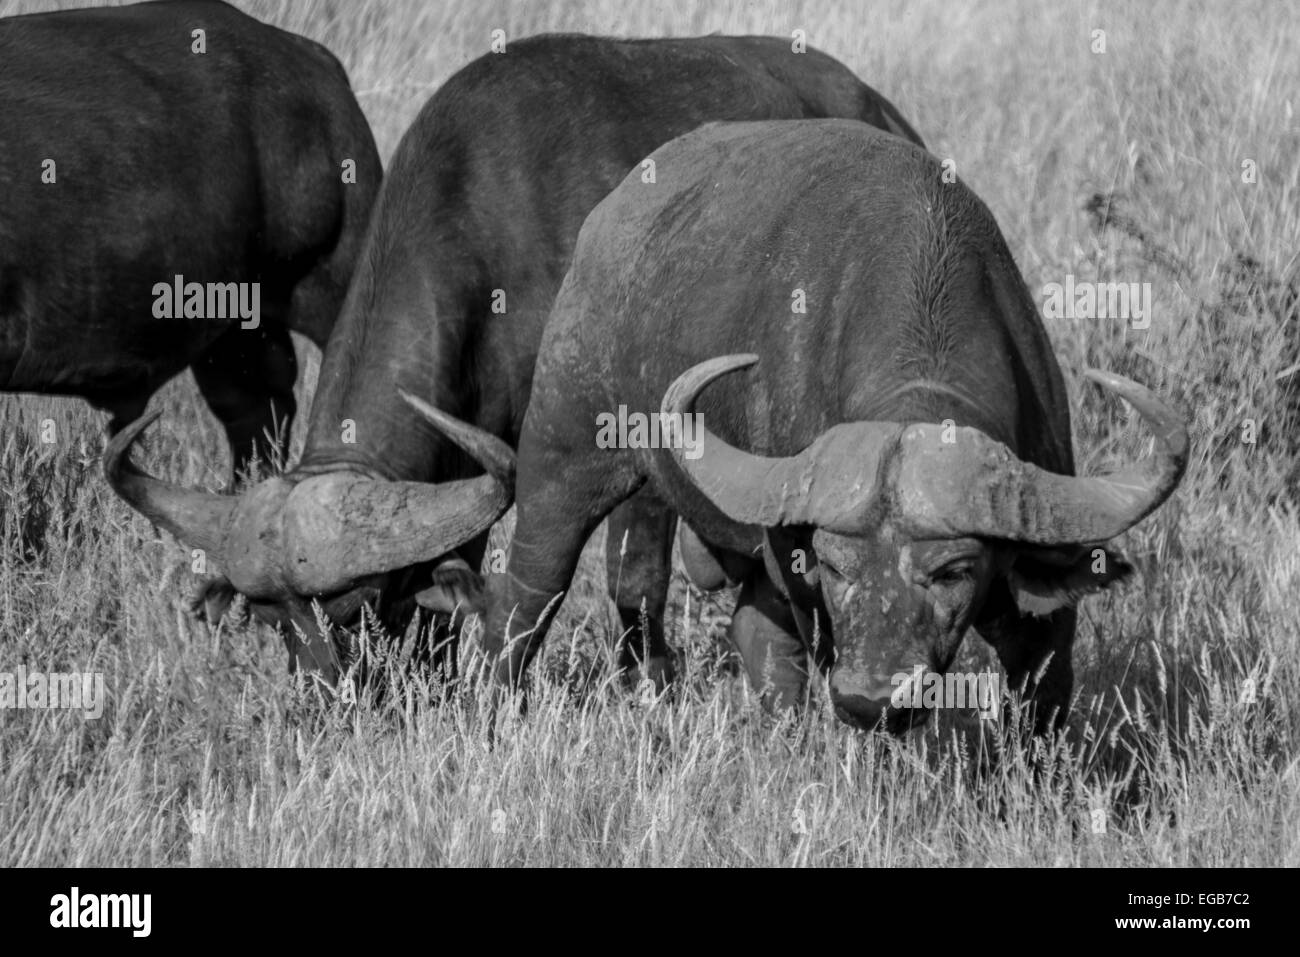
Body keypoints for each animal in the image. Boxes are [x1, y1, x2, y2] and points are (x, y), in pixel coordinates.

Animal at [105, 34, 926, 684]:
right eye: (274, 619)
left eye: (354, 606)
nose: (329, 696)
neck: (490, 220)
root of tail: (884, 110)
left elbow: (633, 577)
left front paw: (649, 682)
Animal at [481, 119, 1188, 732]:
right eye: (834, 565)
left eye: (955, 570)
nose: (872, 702)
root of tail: (606, 221)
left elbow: (1043, 690)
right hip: (563, 451)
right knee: (528, 591)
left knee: (725, 618)